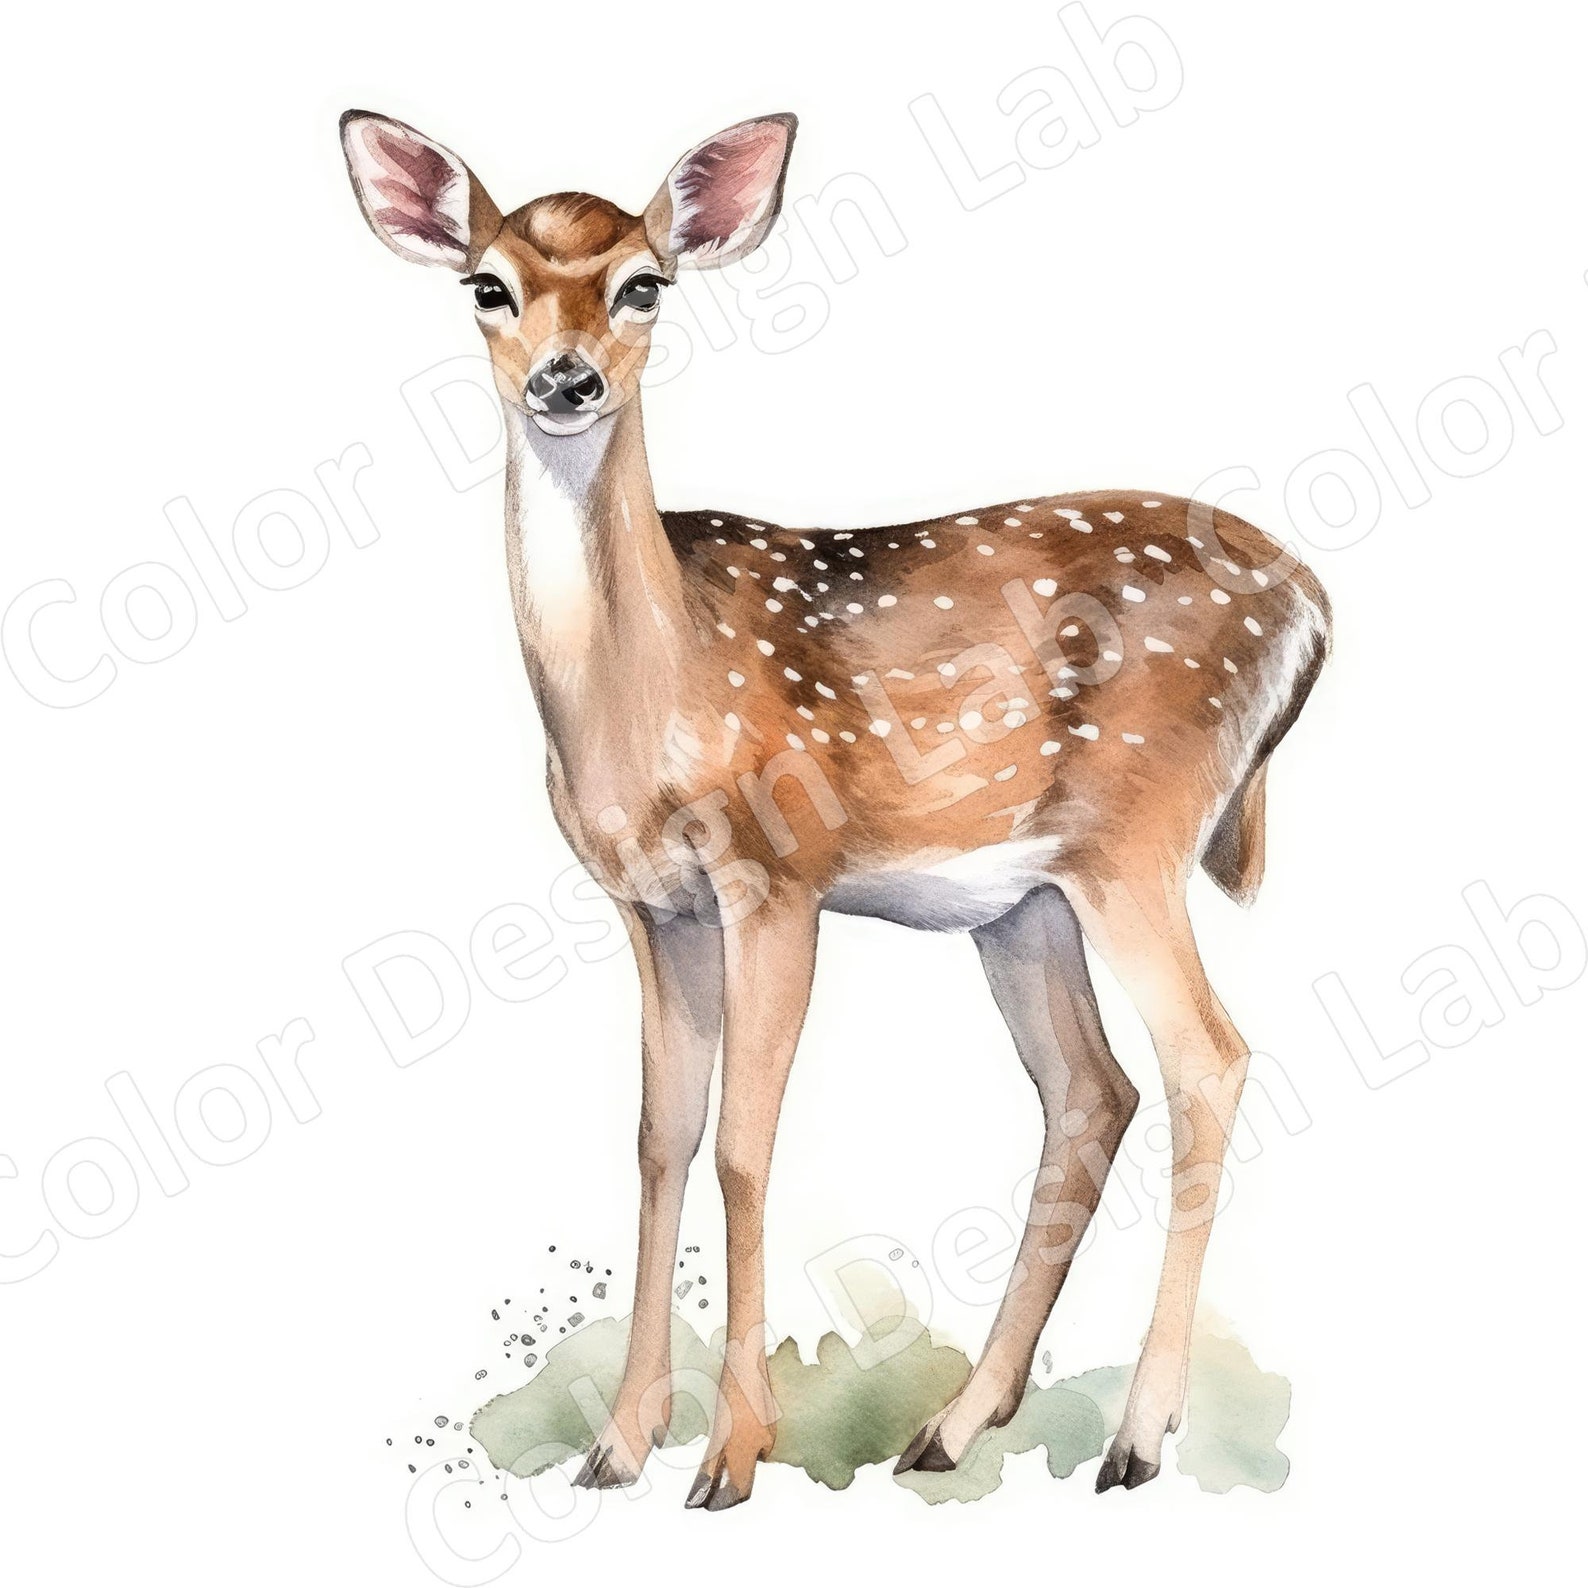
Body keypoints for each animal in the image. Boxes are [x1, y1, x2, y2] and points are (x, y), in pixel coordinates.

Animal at [340, 108, 1330, 1510]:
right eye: (489, 286)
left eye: (644, 284)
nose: (568, 380)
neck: (647, 696)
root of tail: (1314, 605)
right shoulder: (651, 905)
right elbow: (660, 1139)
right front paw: (617, 1445)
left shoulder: (777, 876)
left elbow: (746, 1145)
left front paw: (730, 1458)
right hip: (1022, 899)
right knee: (1090, 1092)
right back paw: (952, 1424)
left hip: (1135, 836)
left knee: (1208, 1059)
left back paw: (1136, 1437)